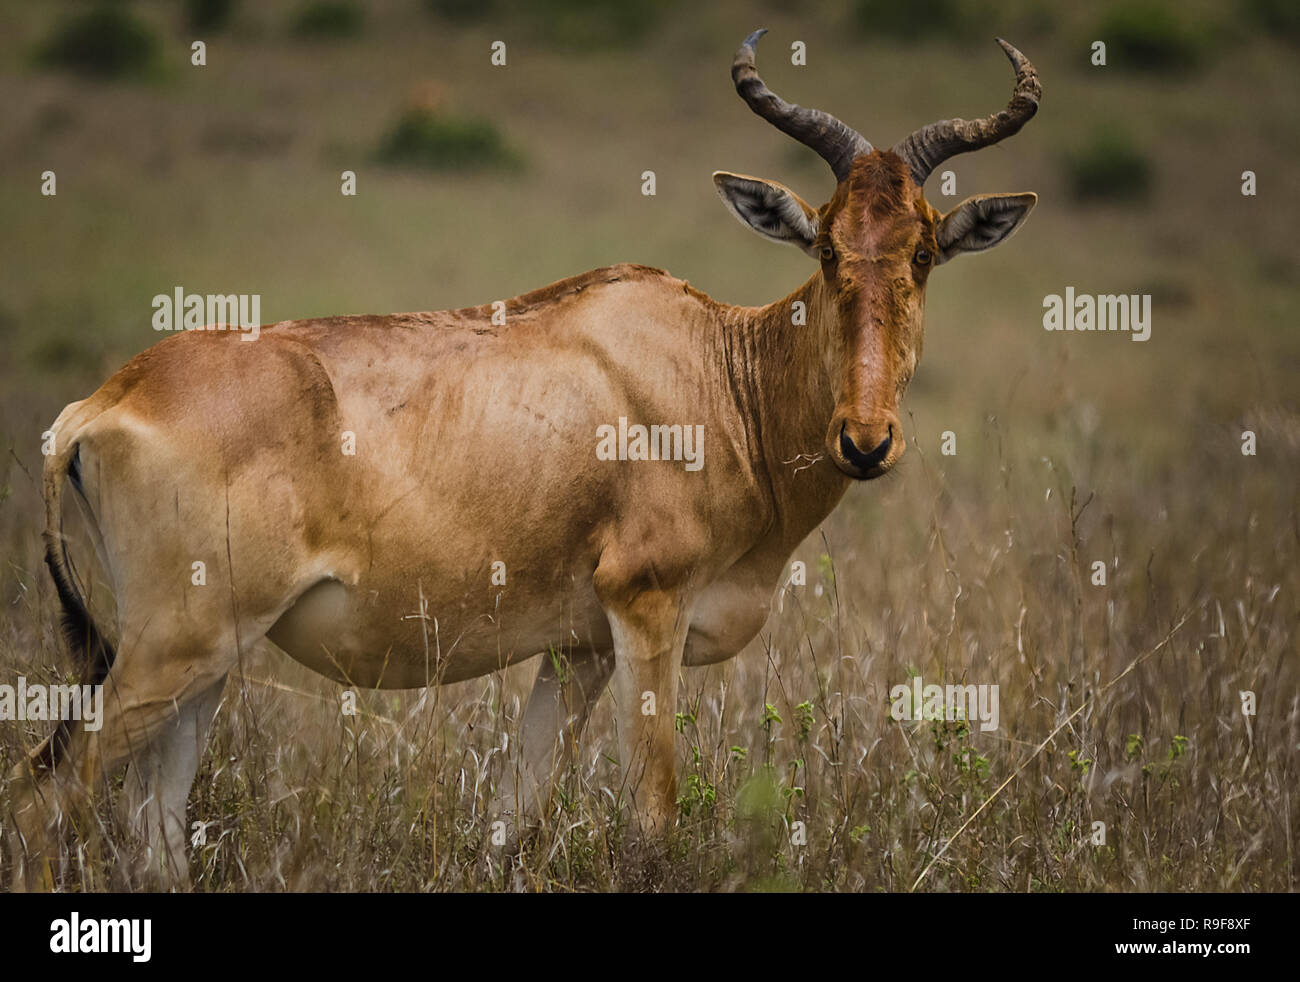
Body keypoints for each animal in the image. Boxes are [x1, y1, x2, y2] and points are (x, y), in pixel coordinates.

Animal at [8, 30, 1040, 890]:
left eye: (924, 251)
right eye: (825, 245)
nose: (864, 441)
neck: (714, 365)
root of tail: (107, 399)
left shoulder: (577, 649)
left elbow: (510, 820)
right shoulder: (646, 612)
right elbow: (652, 826)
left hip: (208, 662)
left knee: (155, 834)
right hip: (167, 651)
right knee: (41, 800)